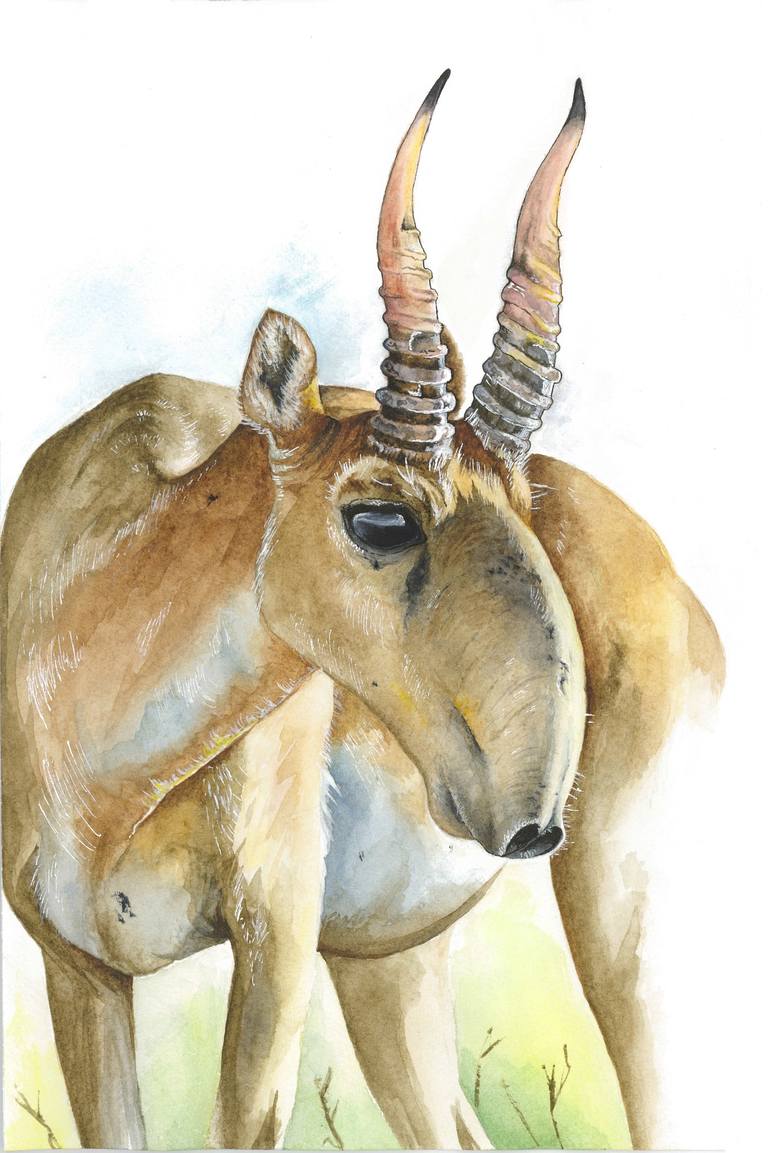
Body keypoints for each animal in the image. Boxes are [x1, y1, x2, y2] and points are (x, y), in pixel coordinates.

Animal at [1, 71, 723, 1151]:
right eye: (378, 514)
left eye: (524, 499)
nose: (526, 811)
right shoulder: (77, 967)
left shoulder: (275, 945)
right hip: (391, 967)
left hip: (620, 912)